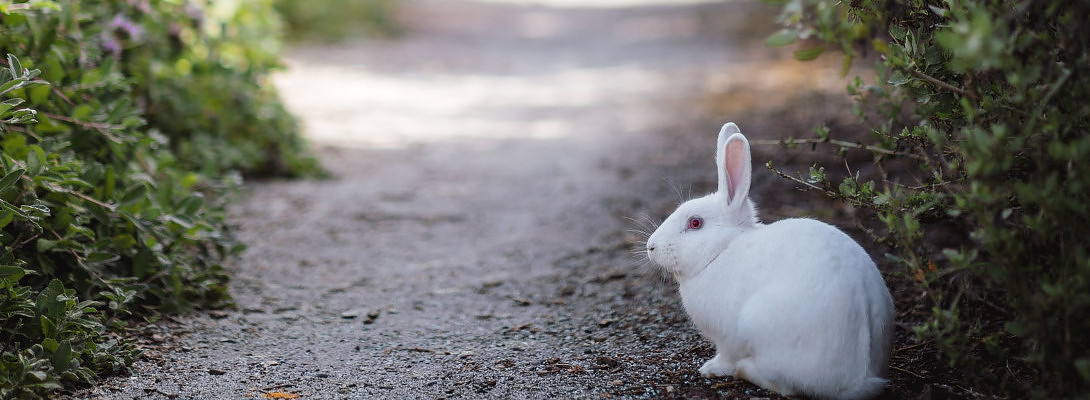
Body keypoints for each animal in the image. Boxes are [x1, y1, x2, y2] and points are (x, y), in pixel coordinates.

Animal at [645, 122, 895, 400]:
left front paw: (710, 368)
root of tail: (858, 379)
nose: (650, 247)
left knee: (785, 386)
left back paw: (744, 370)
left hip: (760, 328)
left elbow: (725, 356)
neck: (722, 249)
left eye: (695, 223)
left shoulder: (728, 338)